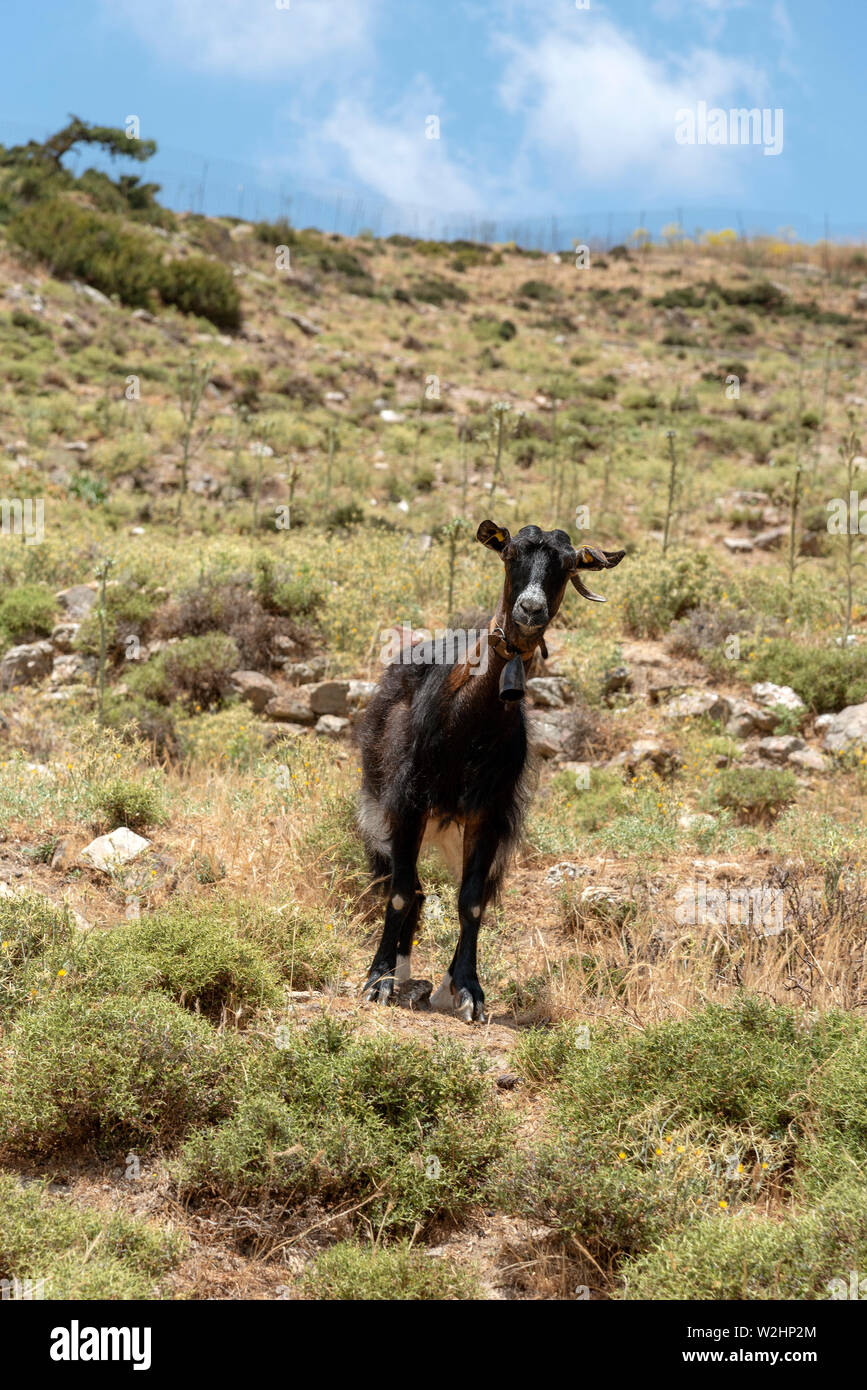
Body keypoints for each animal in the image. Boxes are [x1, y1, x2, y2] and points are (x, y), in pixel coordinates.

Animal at [357, 520, 625, 1022]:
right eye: (510, 554)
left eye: (567, 565)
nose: (531, 609)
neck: (466, 721)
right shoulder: (407, 802)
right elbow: (399, 891)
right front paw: (377, 981)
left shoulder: (489, 814)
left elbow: (472, 901)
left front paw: (466, 990)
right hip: (376, 809)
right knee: (406, 885)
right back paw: (399, 975)